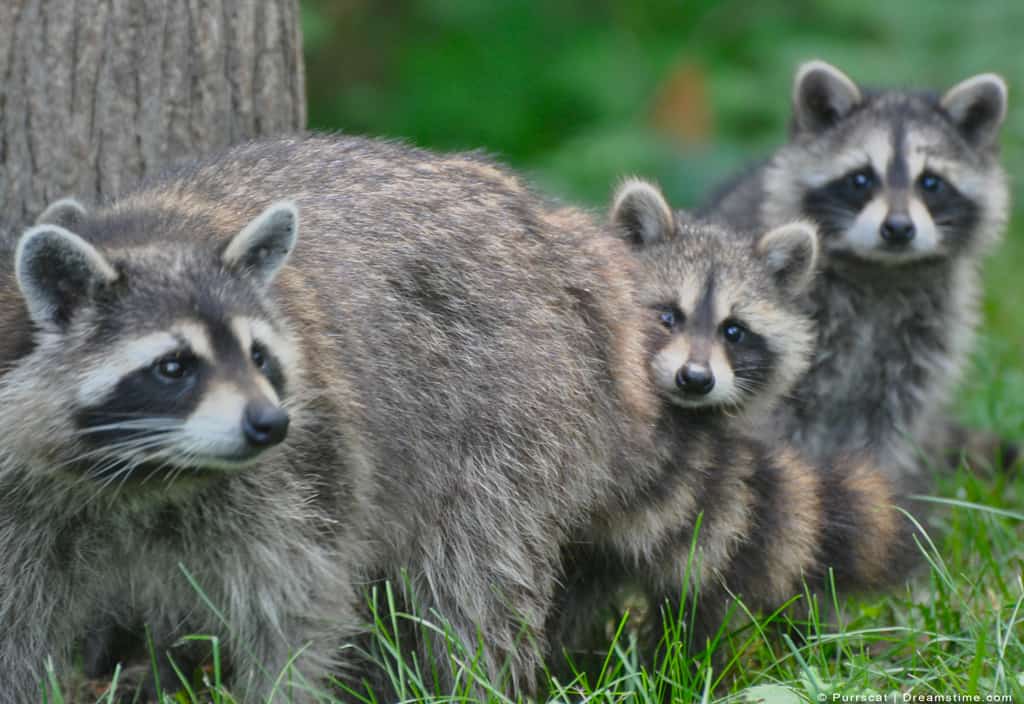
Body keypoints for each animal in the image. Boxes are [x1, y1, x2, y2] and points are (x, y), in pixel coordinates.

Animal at [548, 180, 920, 667]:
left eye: (734, 331)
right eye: (667, 316)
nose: (695, 379)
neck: (683, 414)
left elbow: (698, 584)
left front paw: (685, 661)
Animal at [699, 60, 1012, 481]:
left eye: (930, 182)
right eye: (861, 179)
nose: (898, 228)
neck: (882, 270)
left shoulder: (923, 340)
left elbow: (888, 423)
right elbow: (777, 415)